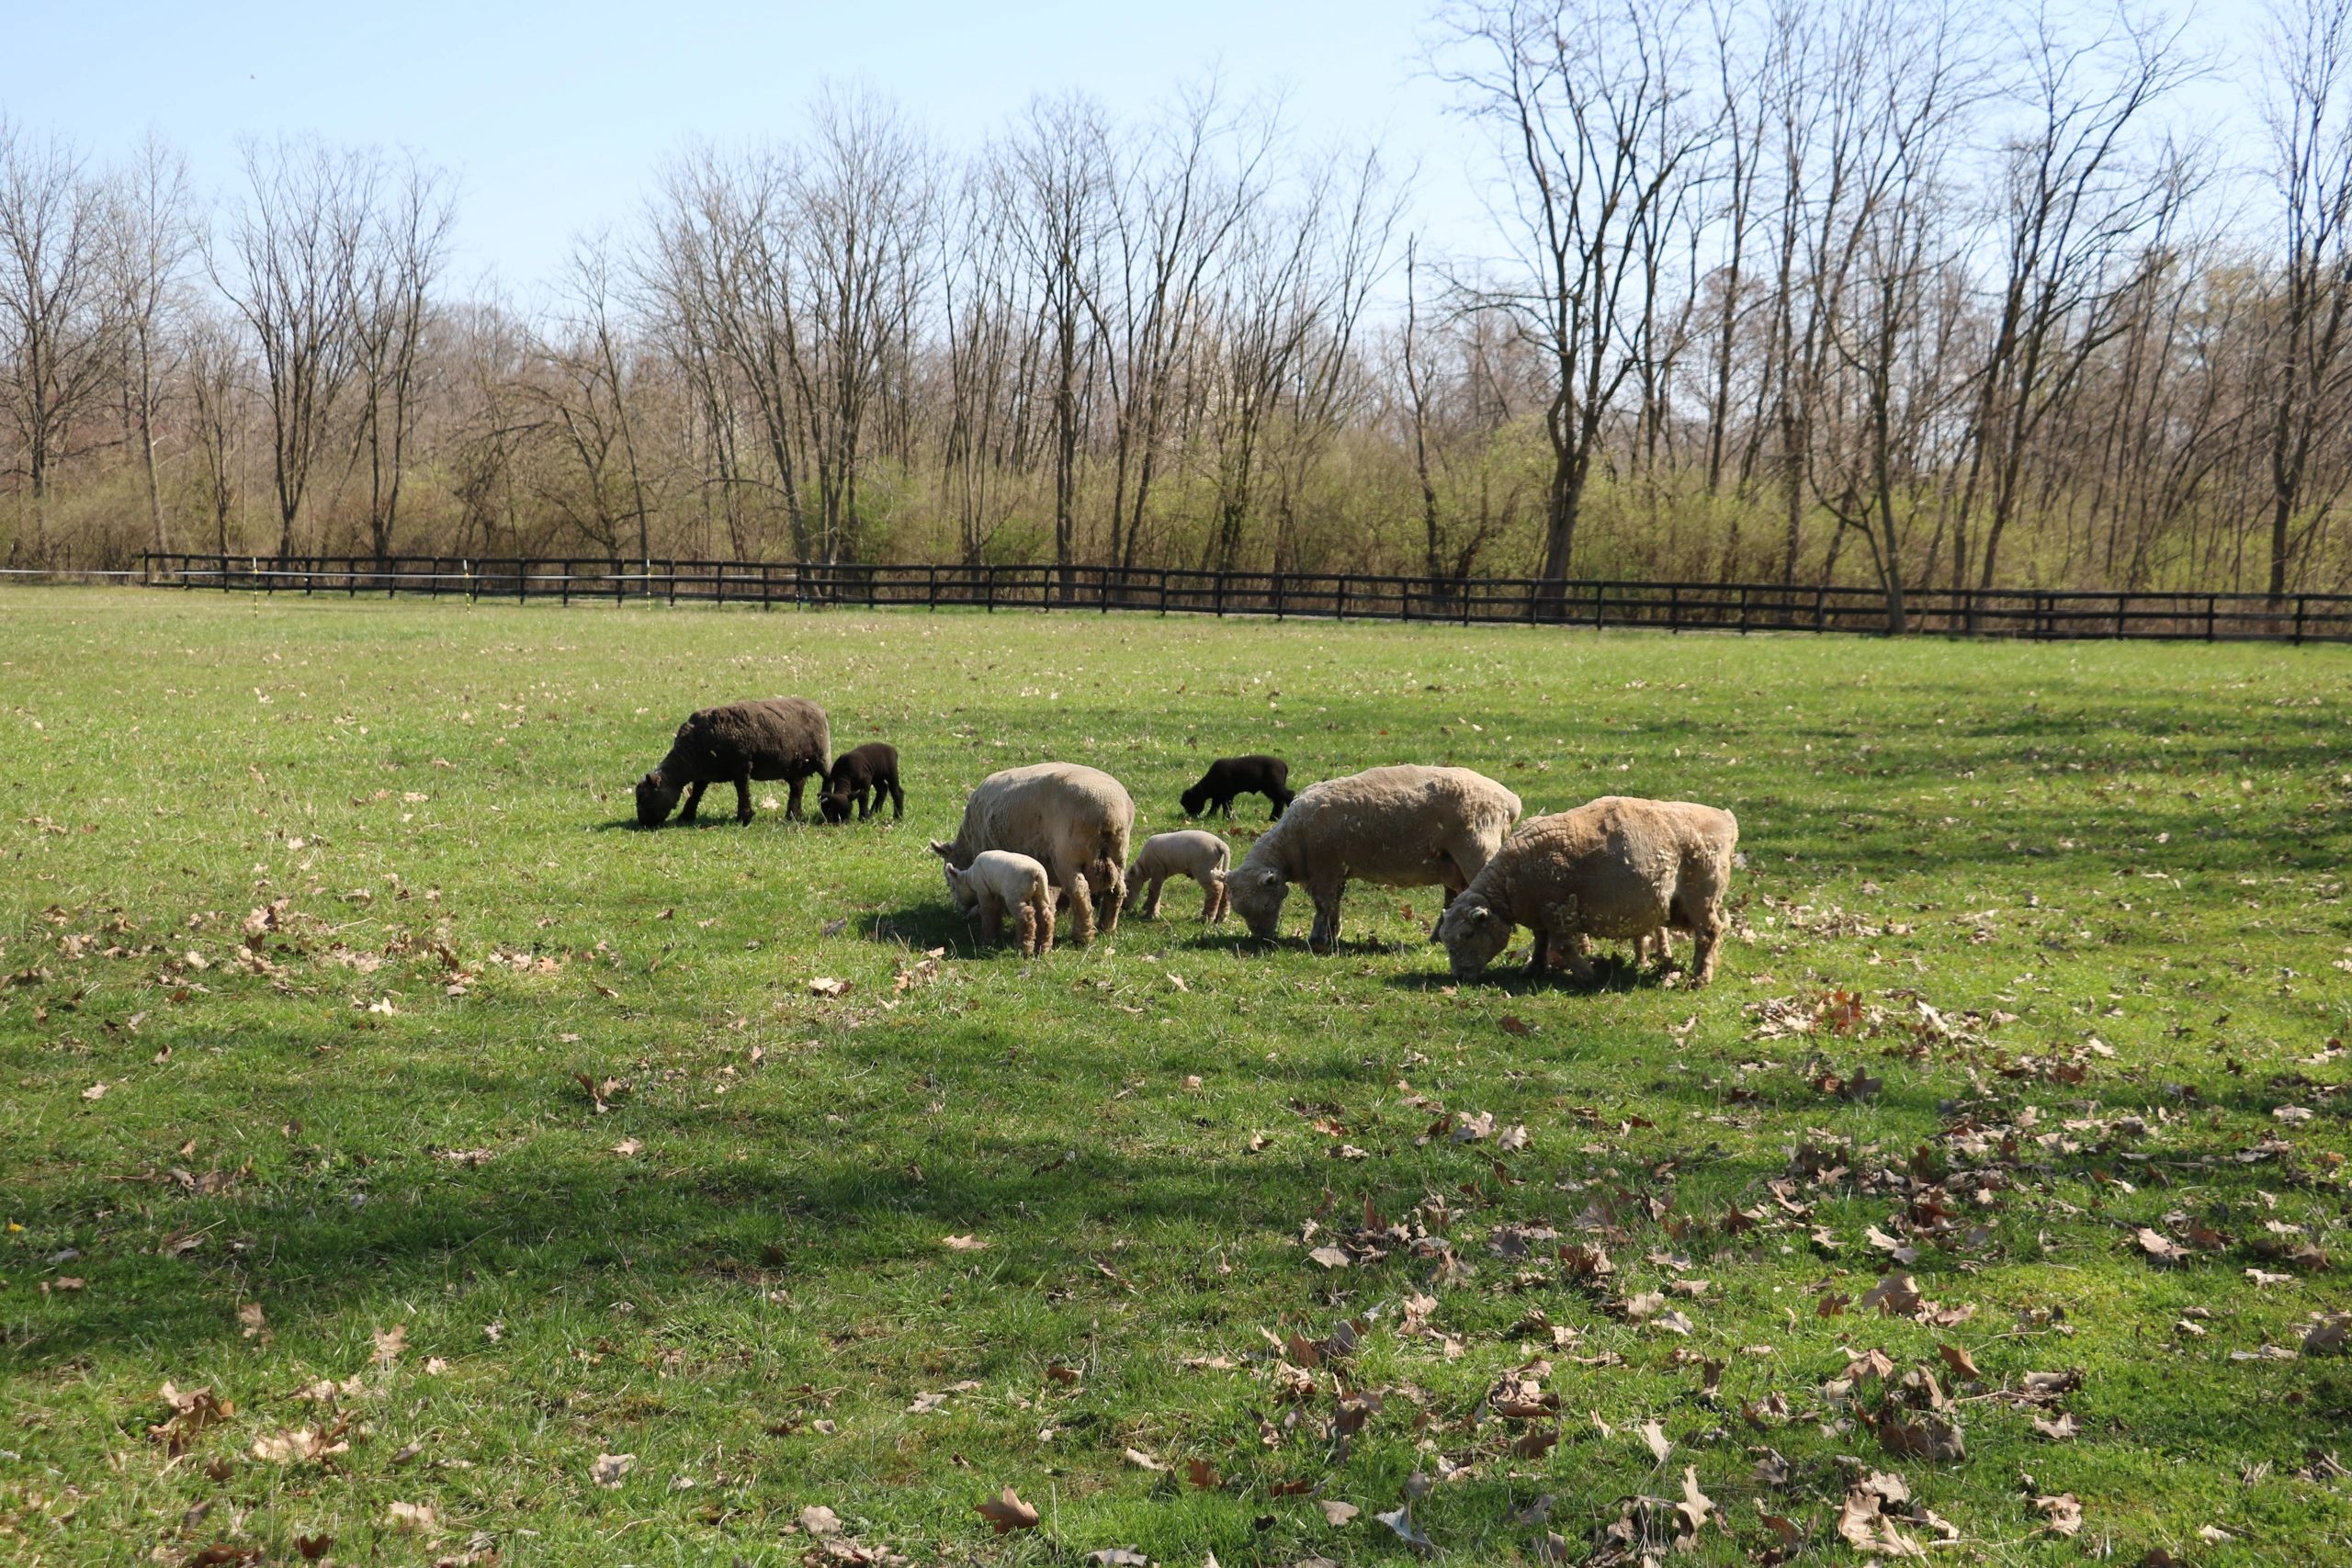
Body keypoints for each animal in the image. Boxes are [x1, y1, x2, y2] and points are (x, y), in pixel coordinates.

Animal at [635, 698, 830, 827]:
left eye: (645, 798)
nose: (643, 823)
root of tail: (818, 707)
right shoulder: (704, 773)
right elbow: (696, 793)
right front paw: (686, 815)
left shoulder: (742, 765)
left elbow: (742, 791)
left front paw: (744, 817)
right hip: (795, 765)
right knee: (797, 787)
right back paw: (793, 815)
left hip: (822, 756)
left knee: (827, 778)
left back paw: (825, 807)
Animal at [929, 762, 1134, 947]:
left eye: (950, 884)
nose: (961, 910)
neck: (968, 841)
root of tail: (1110, 812)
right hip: (1118, 853)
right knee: (1117, 889)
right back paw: (1106, 927)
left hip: (1067, 855)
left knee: (1079, 891)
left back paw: (1082, 936)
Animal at [1225, 765, 1522, 953]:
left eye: (1266, 905)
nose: (1263, 939)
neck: (1293, 841)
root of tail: (1511, 801)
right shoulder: (1337, 870)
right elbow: (1334, 905)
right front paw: (1334, 933)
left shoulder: (1325, 867)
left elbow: (1323, 905)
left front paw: (1318, 939)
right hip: (1453, 863)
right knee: (1455, 899)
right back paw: (1437, 938)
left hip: (1476, 848)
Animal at [1432, 796, 1739, 986]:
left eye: (1468, 934)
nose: (1459, 976)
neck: (1512, 879)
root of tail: (1726, 820)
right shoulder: (1541, 913)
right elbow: (1541, 941)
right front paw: (1534, 968)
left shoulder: (1558, 910)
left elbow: (1563, 946)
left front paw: (1585, 974)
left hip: (1701, 894)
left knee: (1710, 933)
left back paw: (1700, 978)